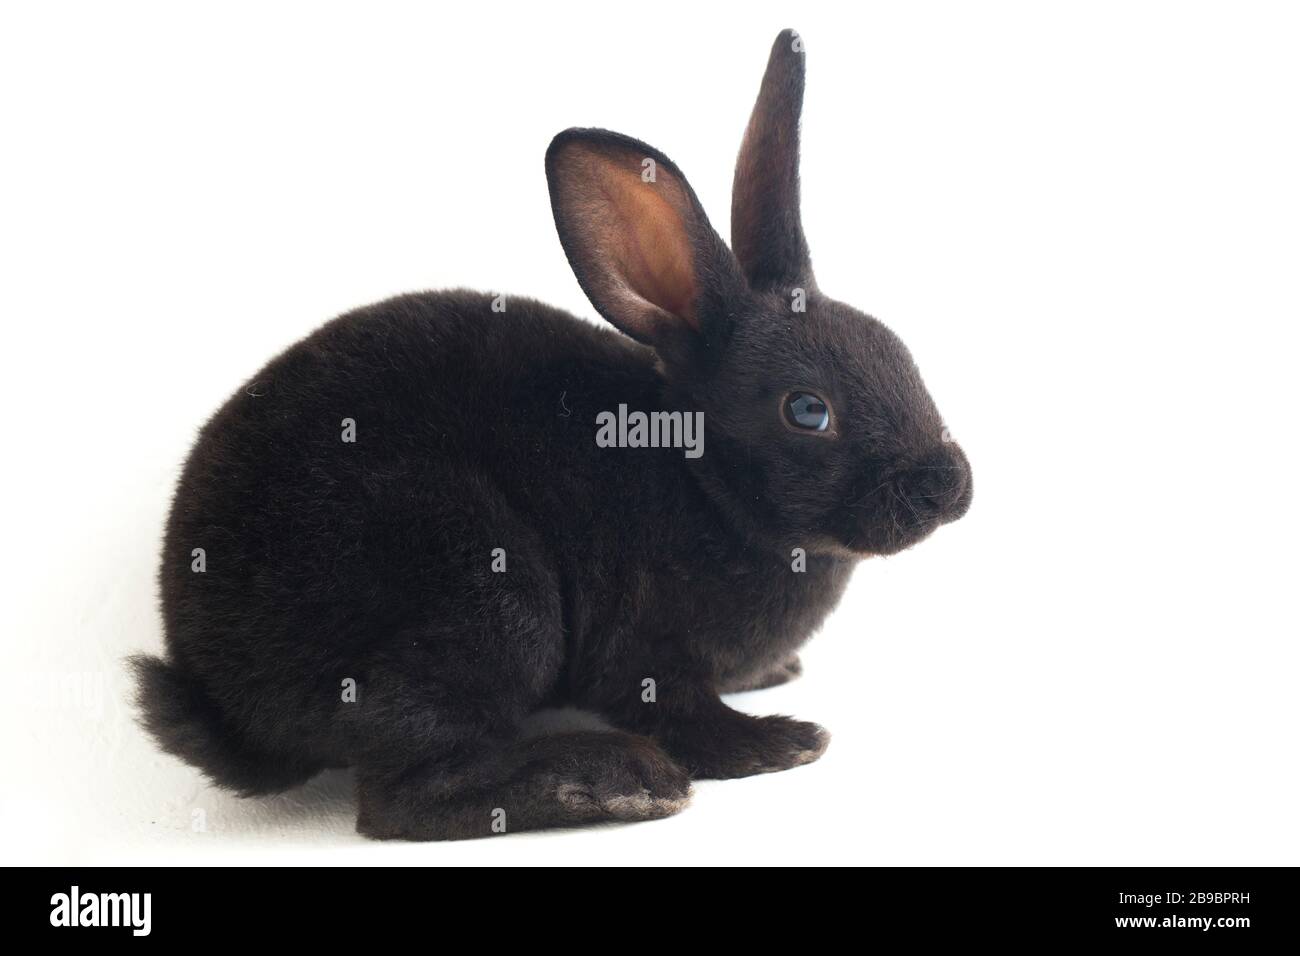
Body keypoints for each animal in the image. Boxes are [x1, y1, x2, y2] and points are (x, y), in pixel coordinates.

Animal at [131, 28, 972, 841]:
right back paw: (619, 782)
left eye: (899, 350)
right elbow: (683, 715)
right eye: (808, 410)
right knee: (403, 797)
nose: (951, 485)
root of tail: (218, 694)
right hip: (485, 593)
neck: (700, 478)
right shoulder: (642, 648)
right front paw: (781, 740)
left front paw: (778, 675)